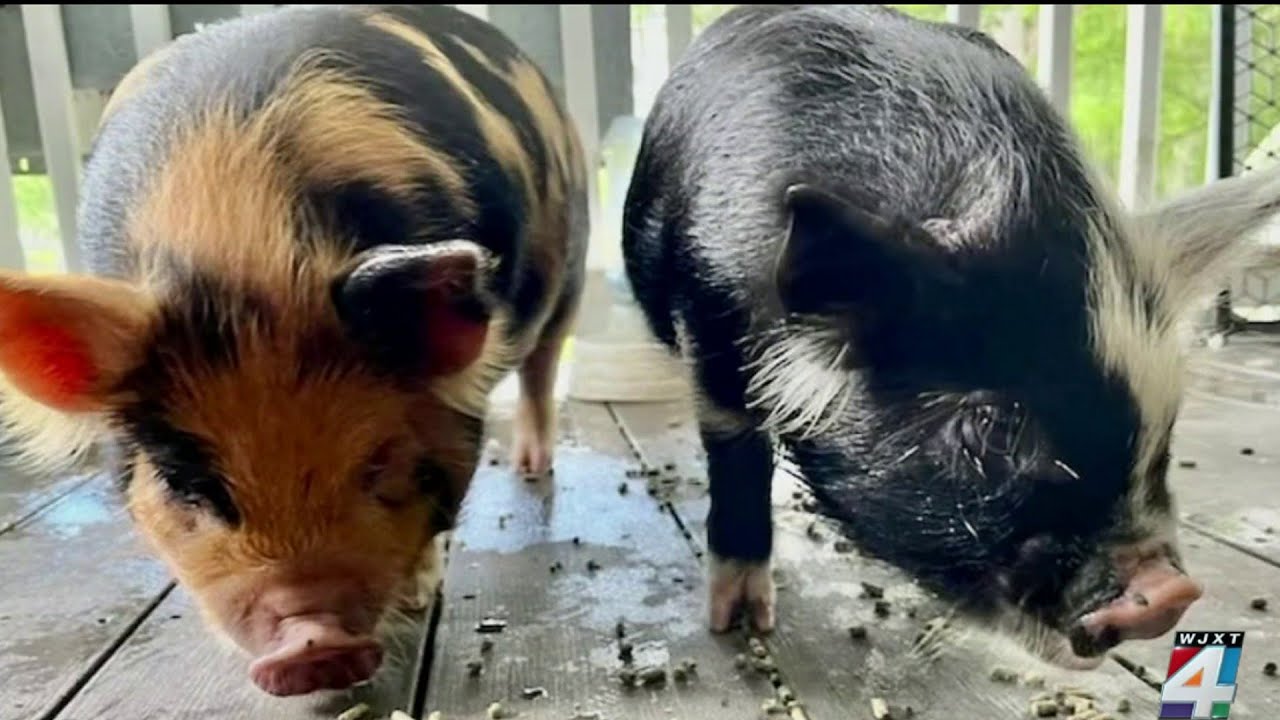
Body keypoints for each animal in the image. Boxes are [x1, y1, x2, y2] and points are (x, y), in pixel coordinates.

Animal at [0, 4, 586, 697]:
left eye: (378, 463)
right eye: (184, 482)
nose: (313, 641)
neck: (243, 238)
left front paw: (418, 594)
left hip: (569, 272)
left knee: (542, 366)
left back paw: (530, 467)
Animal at [622, 4, 1279, 669]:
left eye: (1165, 425)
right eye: (993, 423)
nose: (1170, 592)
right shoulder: (709, 307)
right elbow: (737, 449)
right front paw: (742, 624)